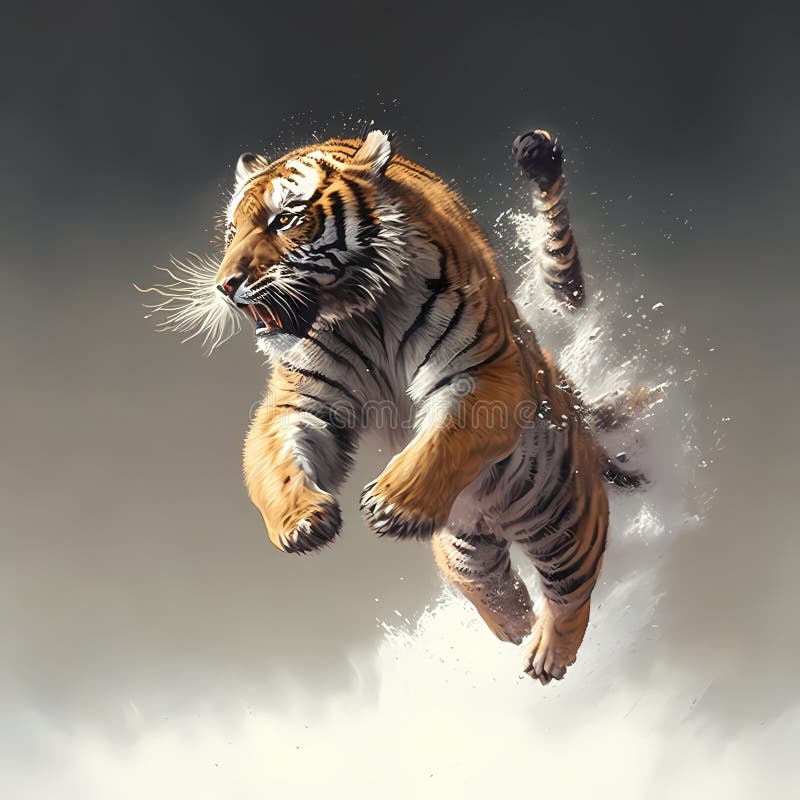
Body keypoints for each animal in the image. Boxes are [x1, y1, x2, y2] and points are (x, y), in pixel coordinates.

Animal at [143, 129, 654, 684]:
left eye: (285, 219)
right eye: (232, 231)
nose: (226, 285)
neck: (358, 312)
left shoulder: (483, 374)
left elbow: (447, 436)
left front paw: (393, 504)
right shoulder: (300, 401)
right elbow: (275, 461)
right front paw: (302, 521)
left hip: (562, 522)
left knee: (568, 593)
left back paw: (546, 656)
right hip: (466, 547)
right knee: (492, 589)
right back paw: (512, 623)